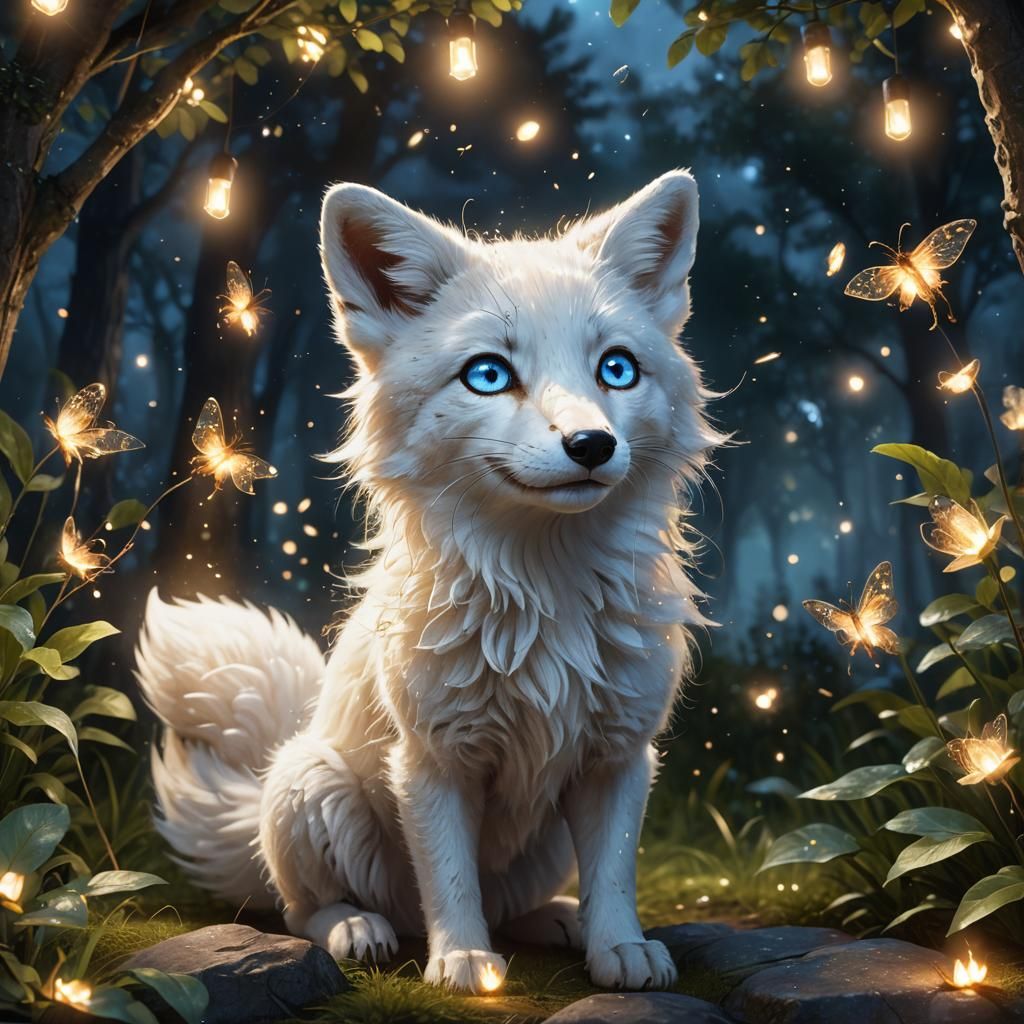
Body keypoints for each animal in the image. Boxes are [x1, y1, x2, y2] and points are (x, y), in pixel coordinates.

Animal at [136, 170, 724, 994]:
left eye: (617, 368)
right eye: (489, 375)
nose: (592, 444)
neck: (544, 595)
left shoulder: (618, 756)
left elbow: (612, 875)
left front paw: (622, 949)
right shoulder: (431, 762)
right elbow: (449, 881)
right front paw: (464, 963)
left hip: (541, 842)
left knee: (514, 900)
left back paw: (556, 921)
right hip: (312, 787)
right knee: (306, 910)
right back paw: (360, 929)